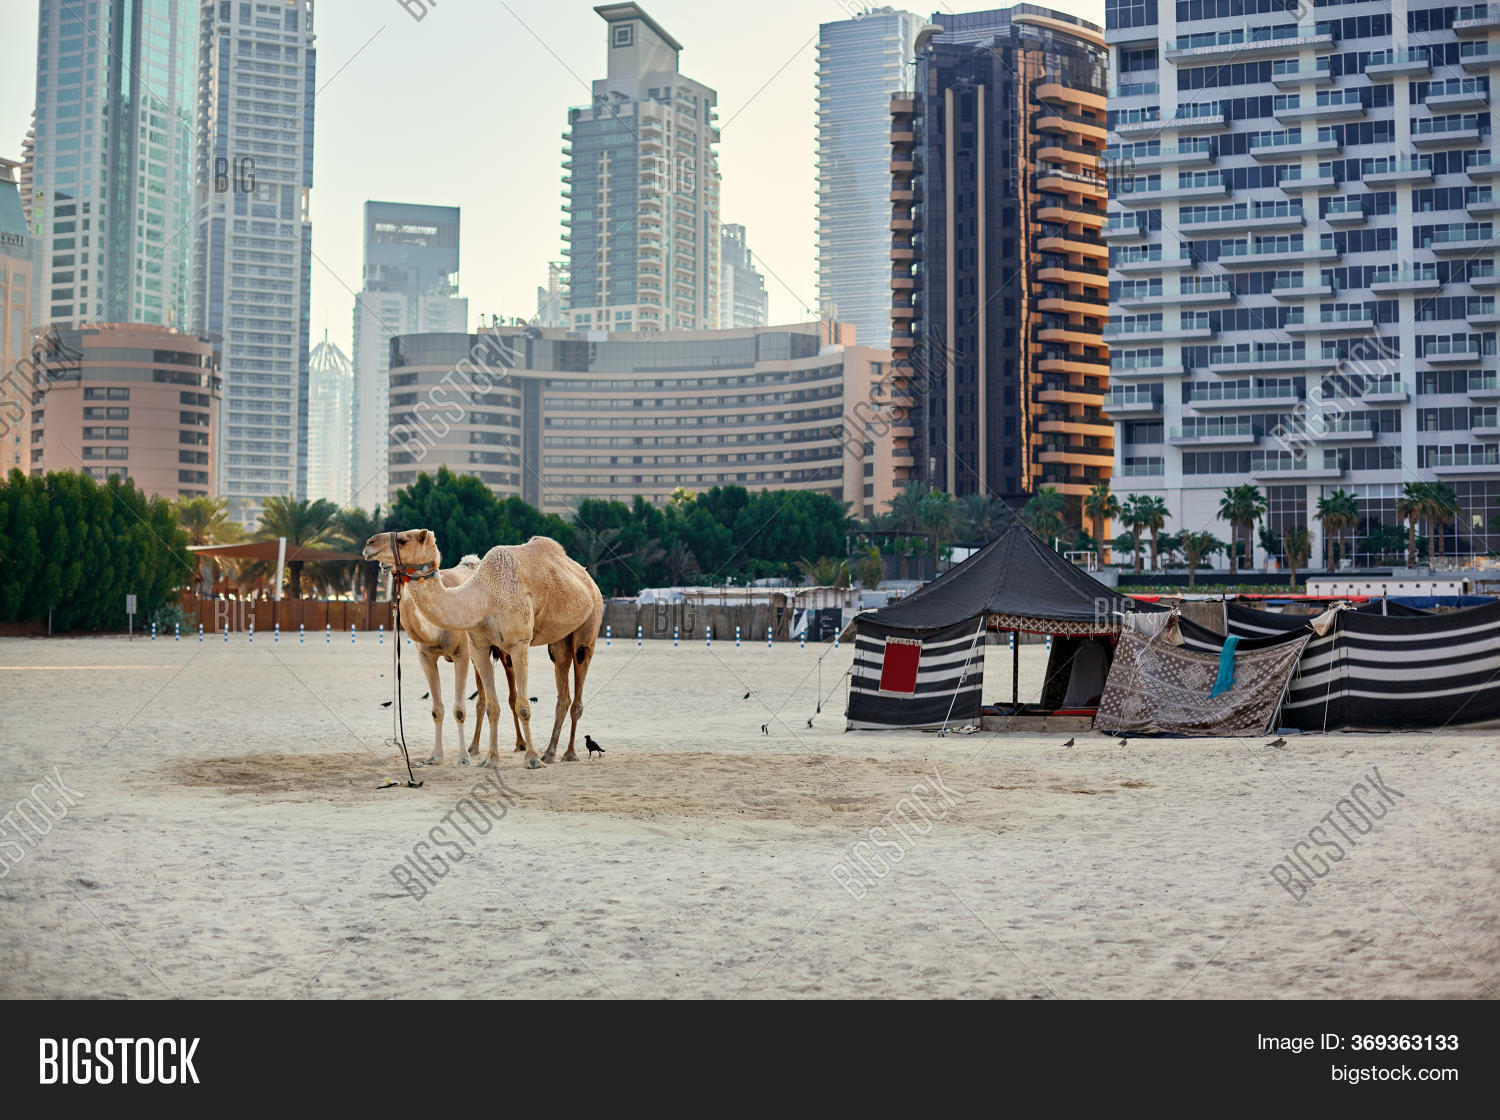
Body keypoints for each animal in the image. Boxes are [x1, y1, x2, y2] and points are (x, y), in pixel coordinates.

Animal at [364, 530, 604, 769]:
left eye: (404, 540)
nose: (369, 543)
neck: (485, 597)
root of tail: (587, 579)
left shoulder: (518, 644)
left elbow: (523, 706)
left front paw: (532, 759)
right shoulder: (478, 647)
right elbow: (491, 706)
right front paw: (491, 759)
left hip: (589, 627)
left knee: (577, 690)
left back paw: (569, 753)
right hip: (559, 642)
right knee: (563, 693)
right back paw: (550, 753)